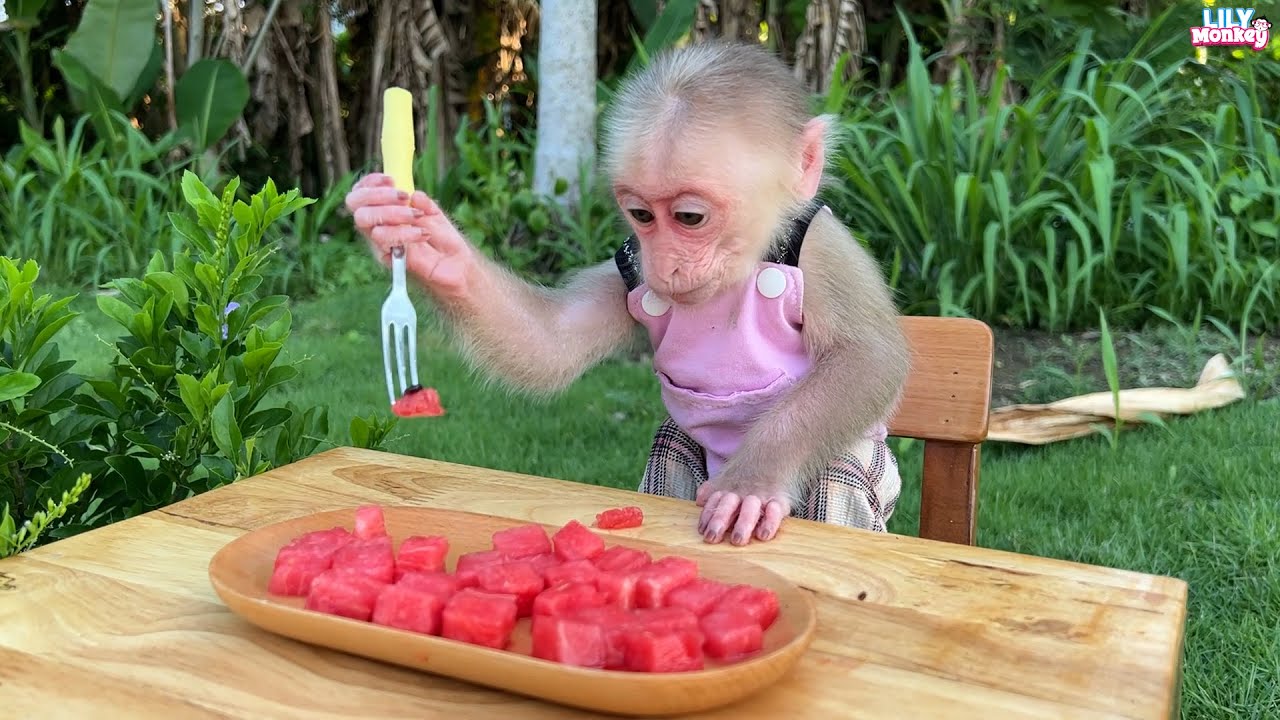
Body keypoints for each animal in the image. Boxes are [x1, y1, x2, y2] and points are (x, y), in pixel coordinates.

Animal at [344, 41, 911, 546]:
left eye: (689, 218)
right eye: (641, 215)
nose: (662, 264)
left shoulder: (822, 252)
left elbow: (868, 357)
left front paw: (754, 479)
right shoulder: (627, 265)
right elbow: (551, 345)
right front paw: (426, 243)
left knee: (840, 463)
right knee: (670, 443)